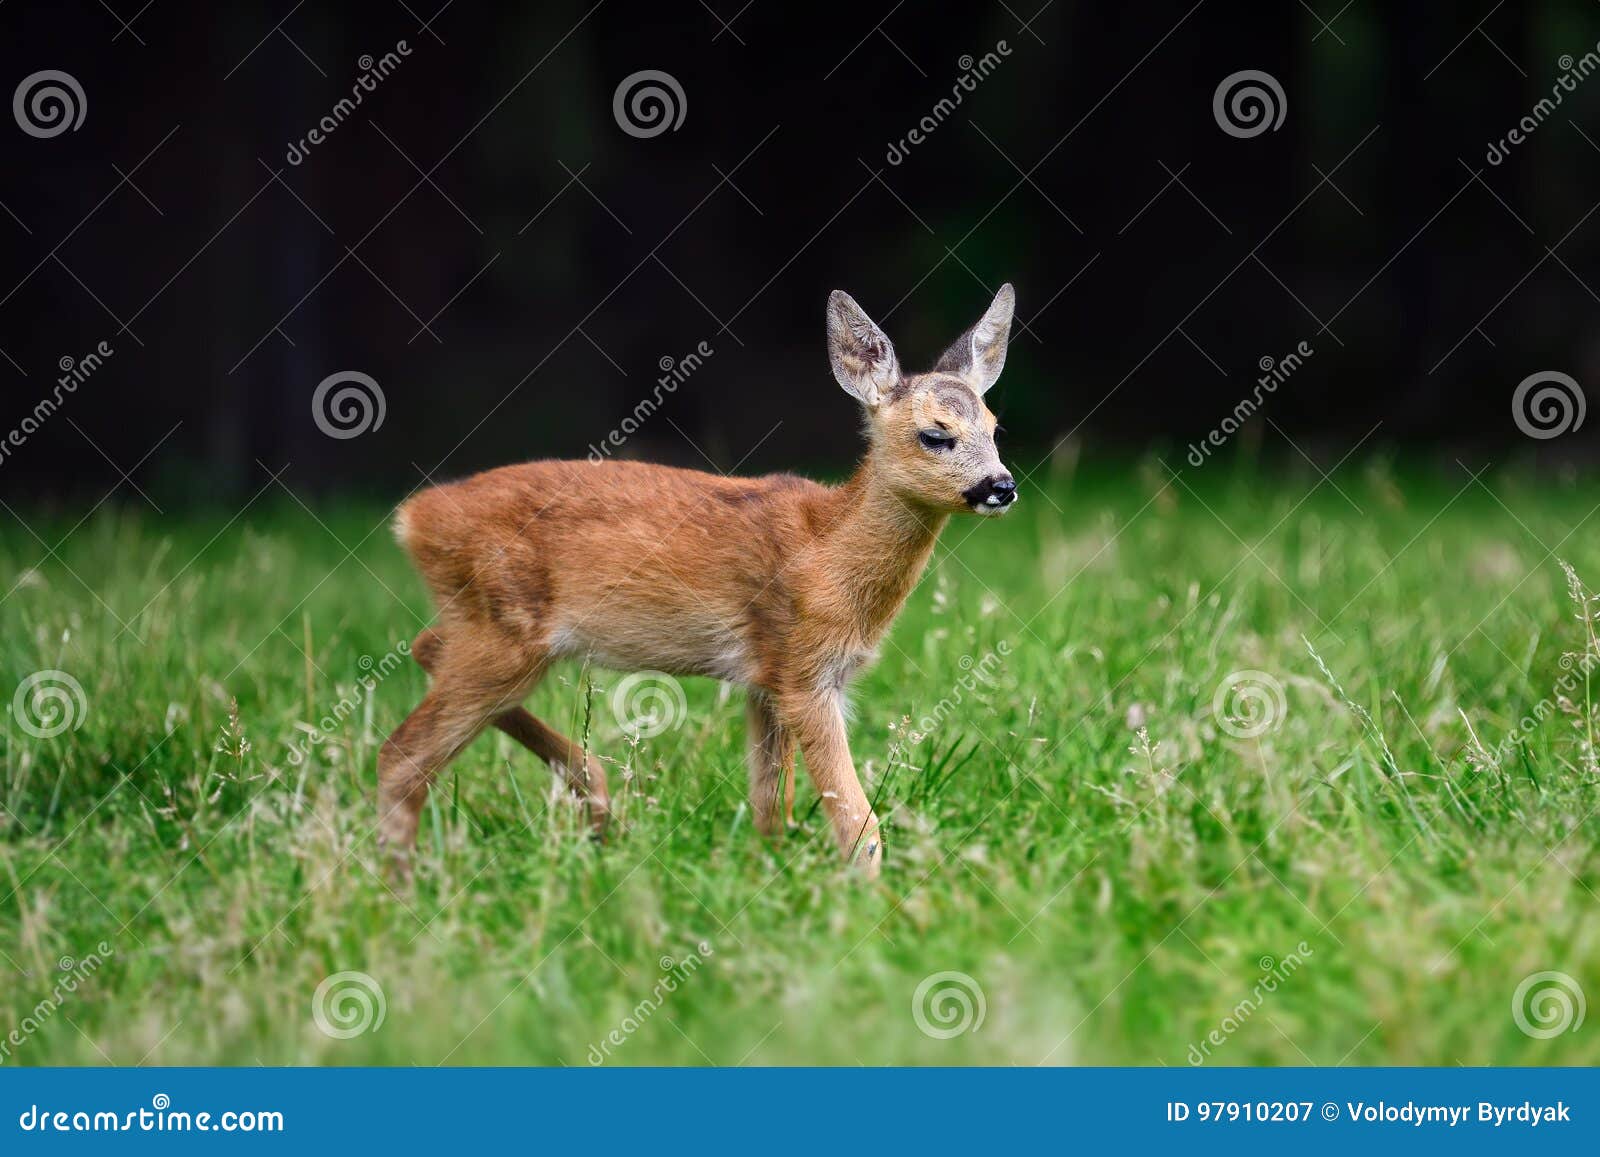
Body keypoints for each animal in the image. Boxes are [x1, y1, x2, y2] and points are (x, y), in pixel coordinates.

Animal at [379, 284, 1018, 878]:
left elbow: (771, 809)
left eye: (994, 427)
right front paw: (868, 899)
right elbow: (860, 827)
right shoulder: (804, 671)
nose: (1002, 486)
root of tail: (412, 518)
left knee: (424, 652)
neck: (827, 550)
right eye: (935, 434)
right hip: (503, 633)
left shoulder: (765, 679)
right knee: (397, 754)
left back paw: (594, 799)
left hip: (491, 631)